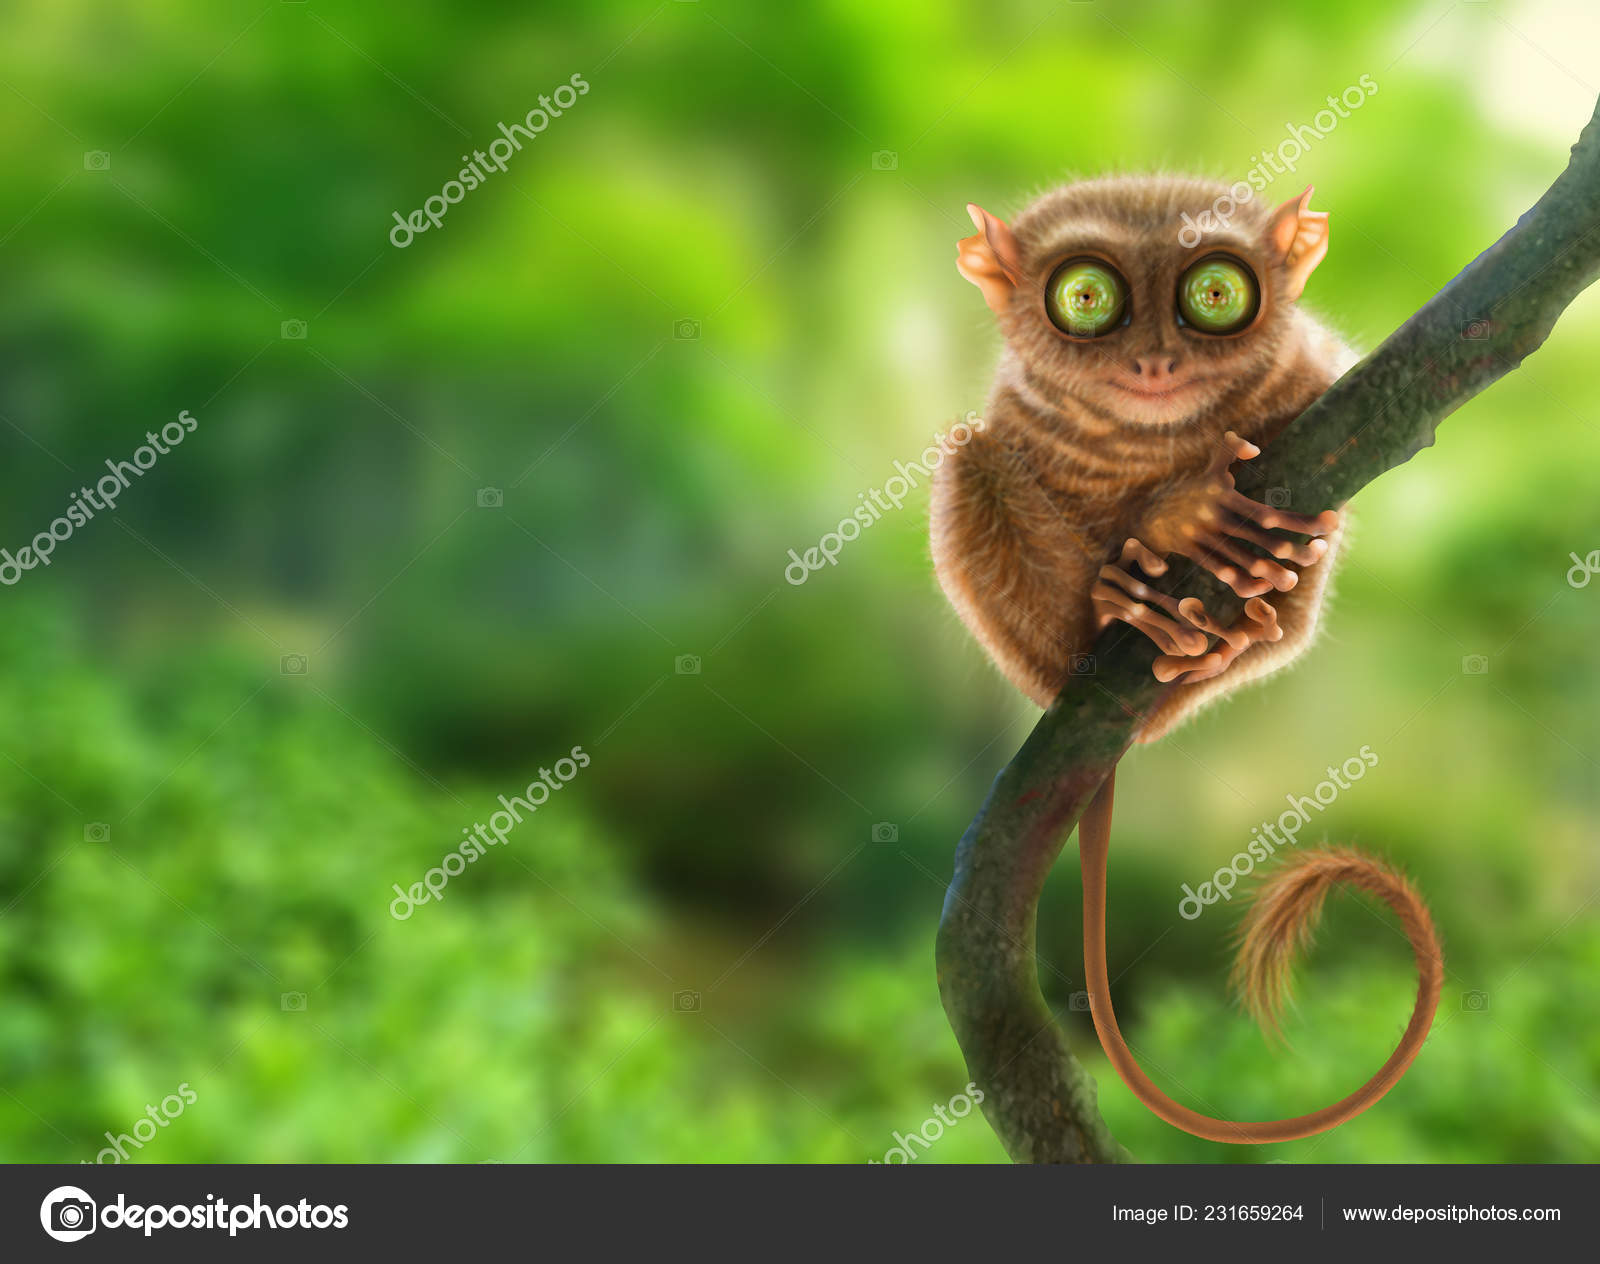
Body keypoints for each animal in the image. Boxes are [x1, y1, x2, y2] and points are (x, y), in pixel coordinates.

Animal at [931, 174, 1443, 1144]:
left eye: (1215, 293)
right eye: (1085, 299)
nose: (1156, 366)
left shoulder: (1319, 376)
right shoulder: (1022, 411)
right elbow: (1002, 448)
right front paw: (1174, 519)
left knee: (1305, 567)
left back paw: (1237, 618)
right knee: (967, 456)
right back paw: (1120, 600)